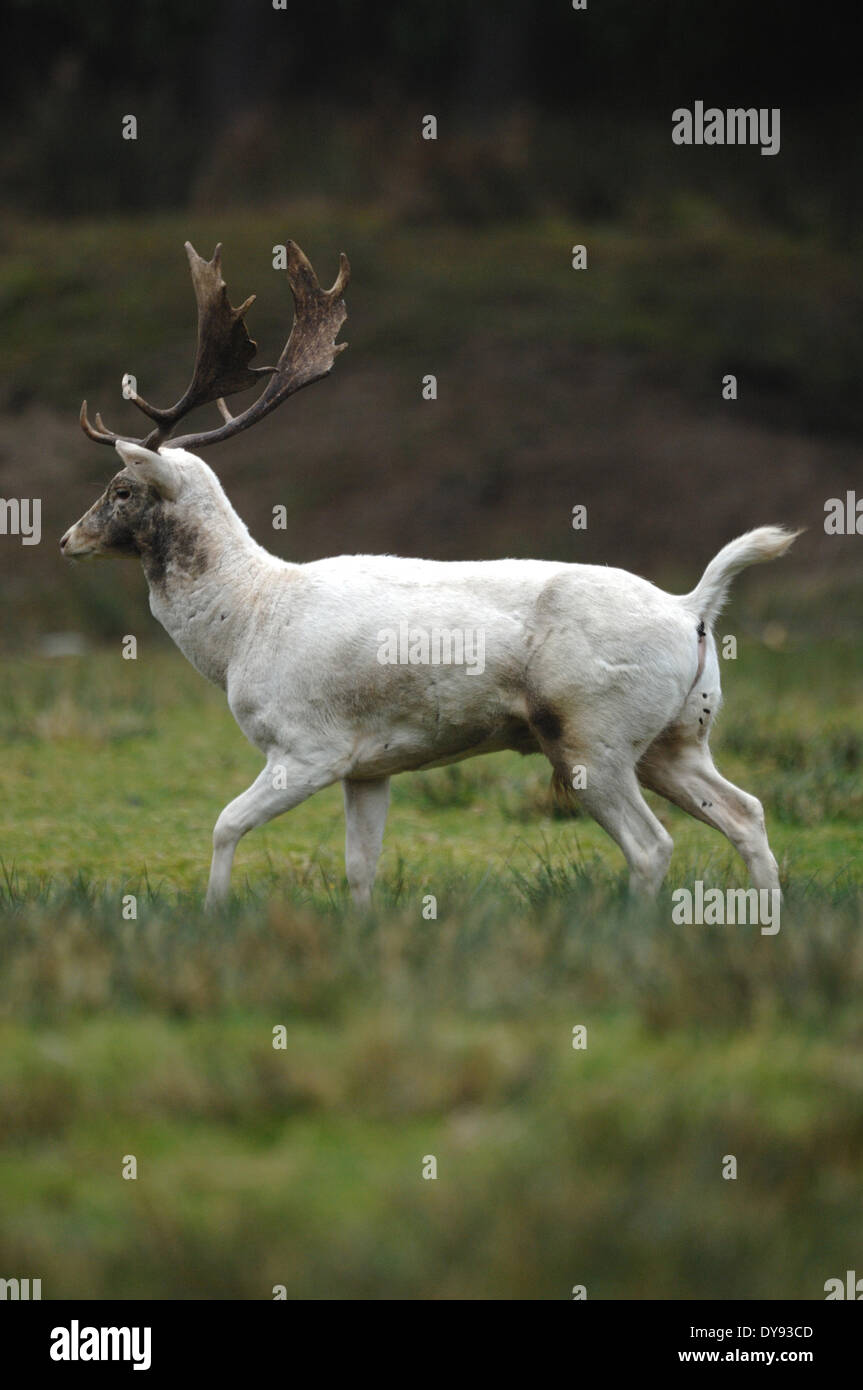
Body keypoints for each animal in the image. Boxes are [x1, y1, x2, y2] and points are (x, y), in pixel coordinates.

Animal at [61, 239, 798, 909]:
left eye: (121, 488)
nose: (68, 539)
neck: (244, 627)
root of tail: (691, 607)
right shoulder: (369, 766)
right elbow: (361, 868)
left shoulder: (309, 745)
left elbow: (223, 825)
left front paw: (215, 914)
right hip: (679, 736)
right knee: (748, 812)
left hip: (592, 730)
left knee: (652, 845)